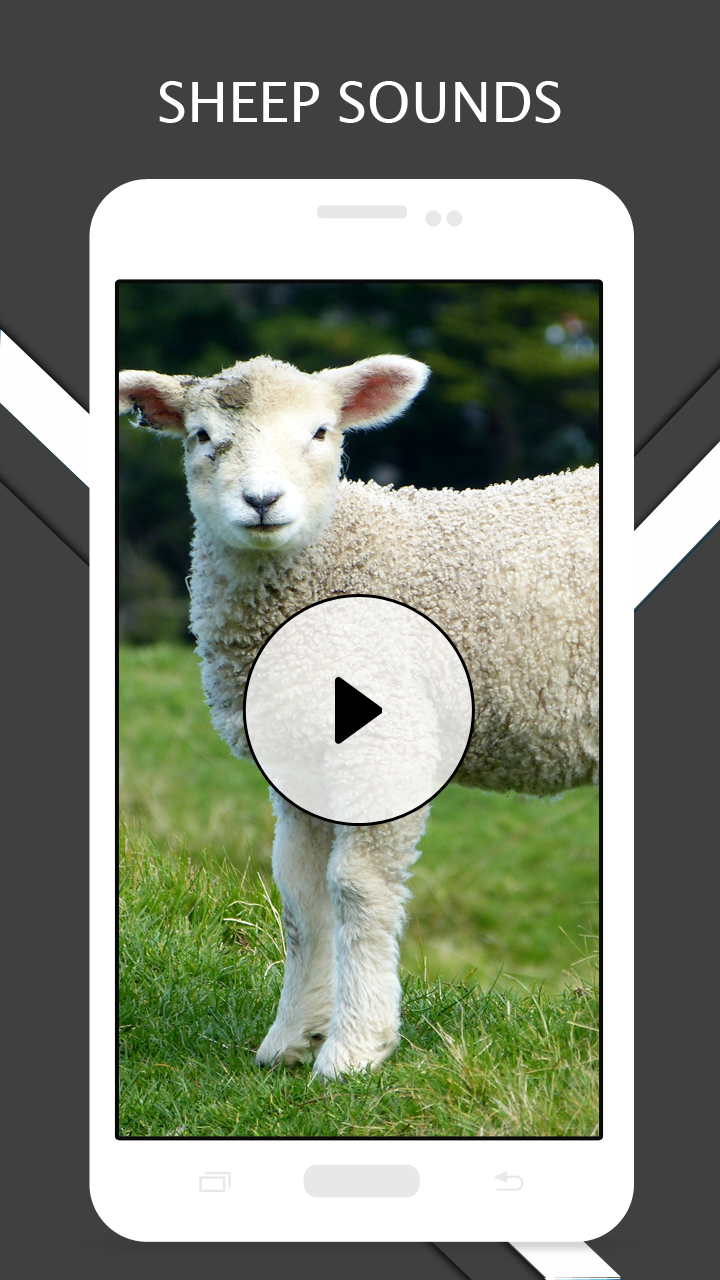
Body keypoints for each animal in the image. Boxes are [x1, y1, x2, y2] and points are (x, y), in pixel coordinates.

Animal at [119, 354, 599, 1080]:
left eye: (321, 431)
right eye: (202, 436)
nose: (262, 501)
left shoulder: (386, 750)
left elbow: (356, 888)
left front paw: (353, 1048)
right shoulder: (296, 758)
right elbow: (297, 893)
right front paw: (291, 1038)